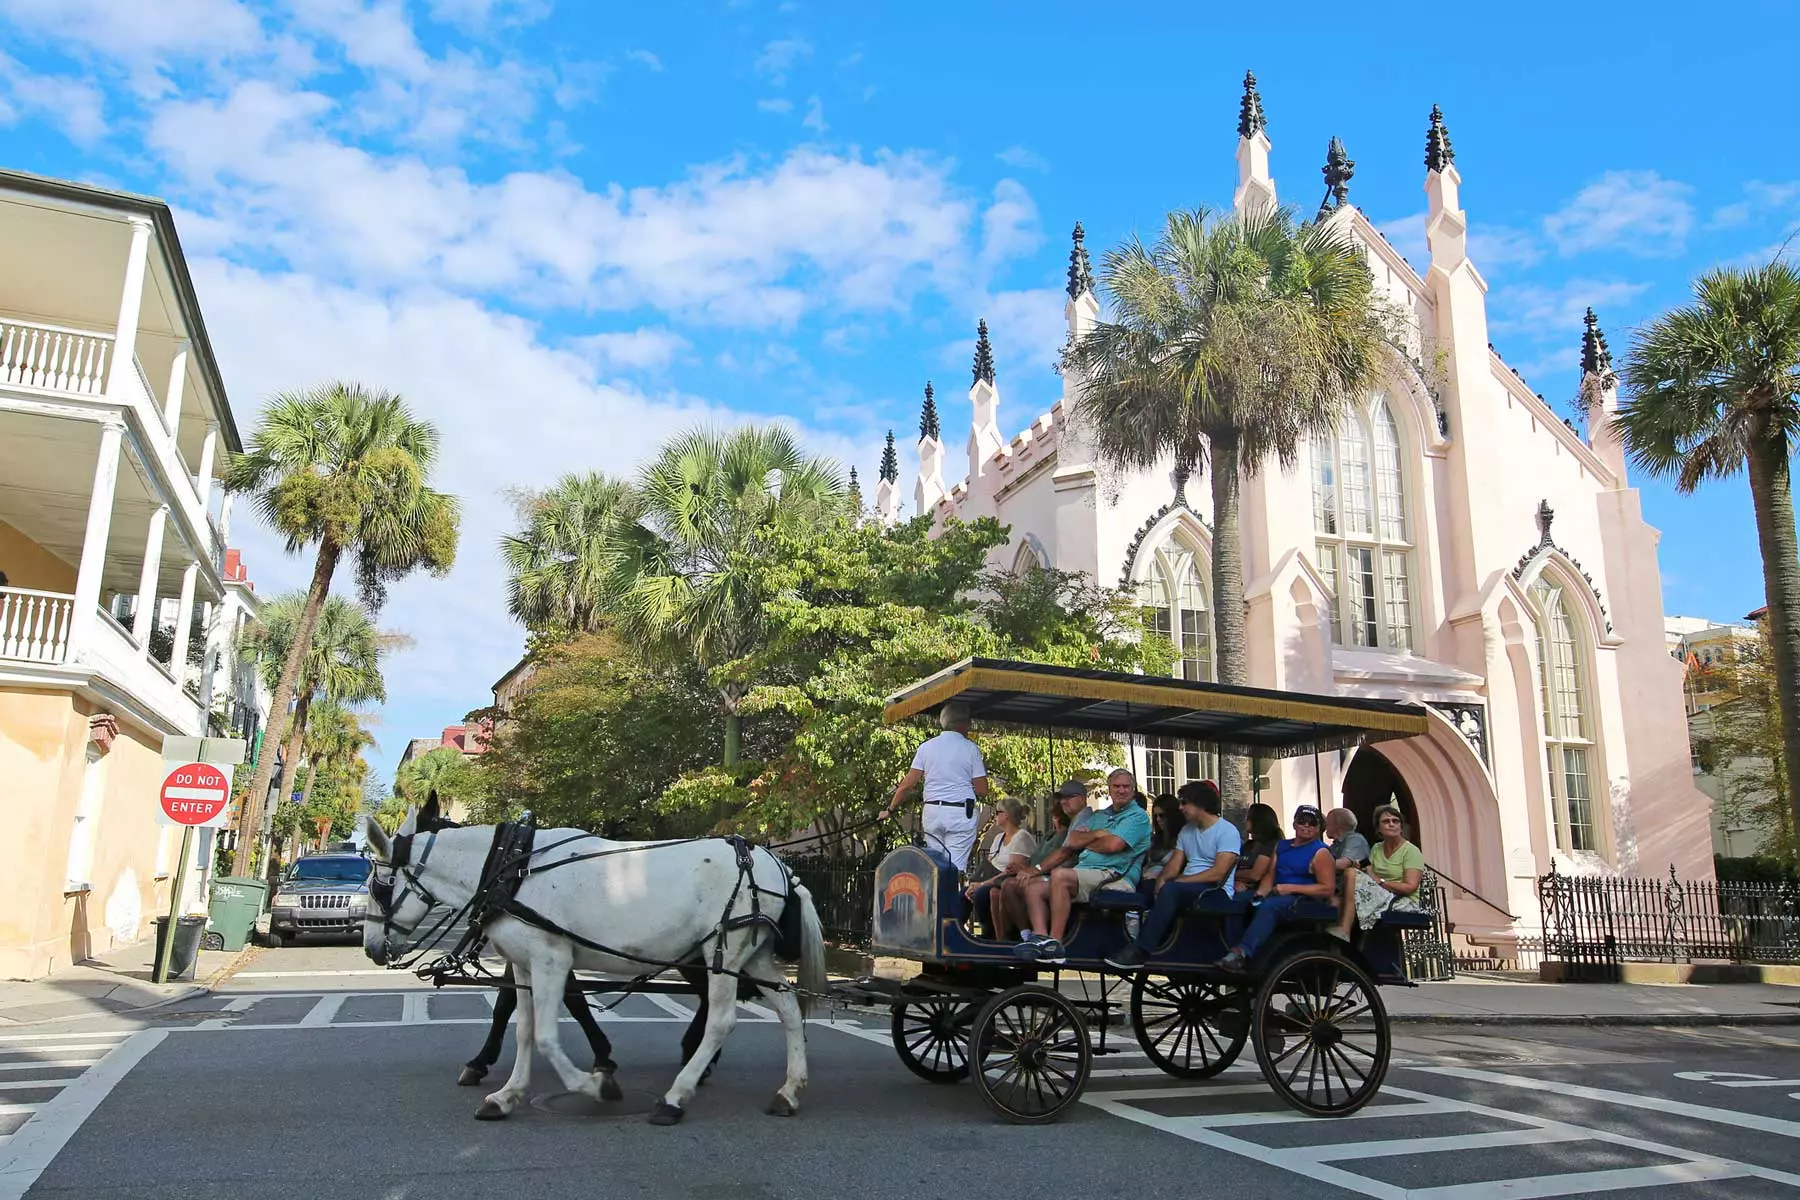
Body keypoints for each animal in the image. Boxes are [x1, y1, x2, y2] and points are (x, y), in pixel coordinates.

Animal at [365, 805, 828, 1129]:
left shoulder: (551, 959)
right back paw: (789, 1090)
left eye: (377, 886)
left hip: (723, 952)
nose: (371, 948)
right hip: (754, 955)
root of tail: (778, 866)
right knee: (789, 1008)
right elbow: (523, 1029)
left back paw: (675, 1097)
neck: (511, 869)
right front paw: (507, 1094)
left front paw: (597, 1083)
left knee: (721, 1019)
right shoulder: (527, 965)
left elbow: (548, 1035)